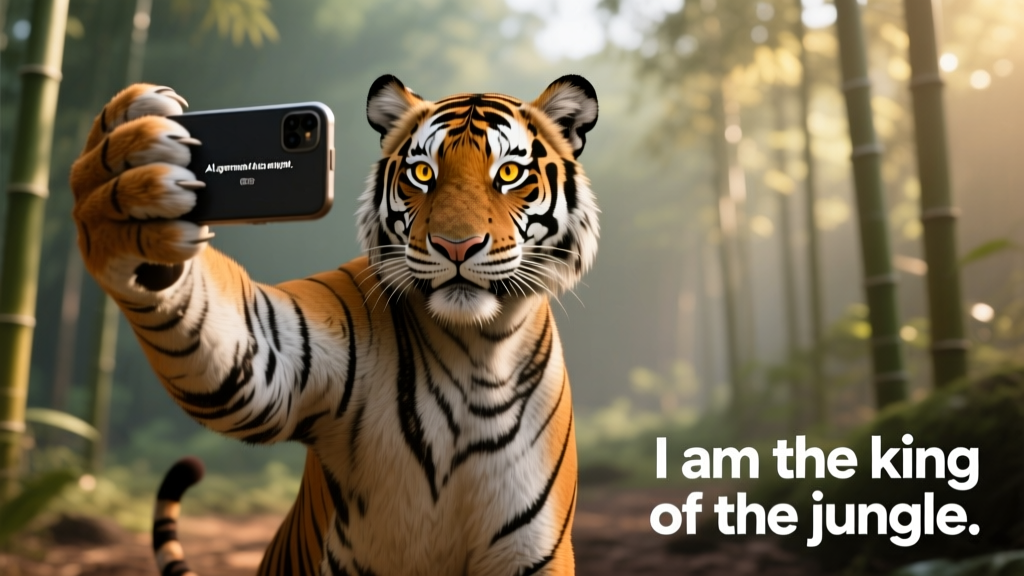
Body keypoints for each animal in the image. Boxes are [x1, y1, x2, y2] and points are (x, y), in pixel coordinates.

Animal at [68, 74, 599, 575]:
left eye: (508, 172)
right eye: (423, 173)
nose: (455, 246)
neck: (476, 346)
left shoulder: (533, 552)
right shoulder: (279, 355)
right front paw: (129, 161)